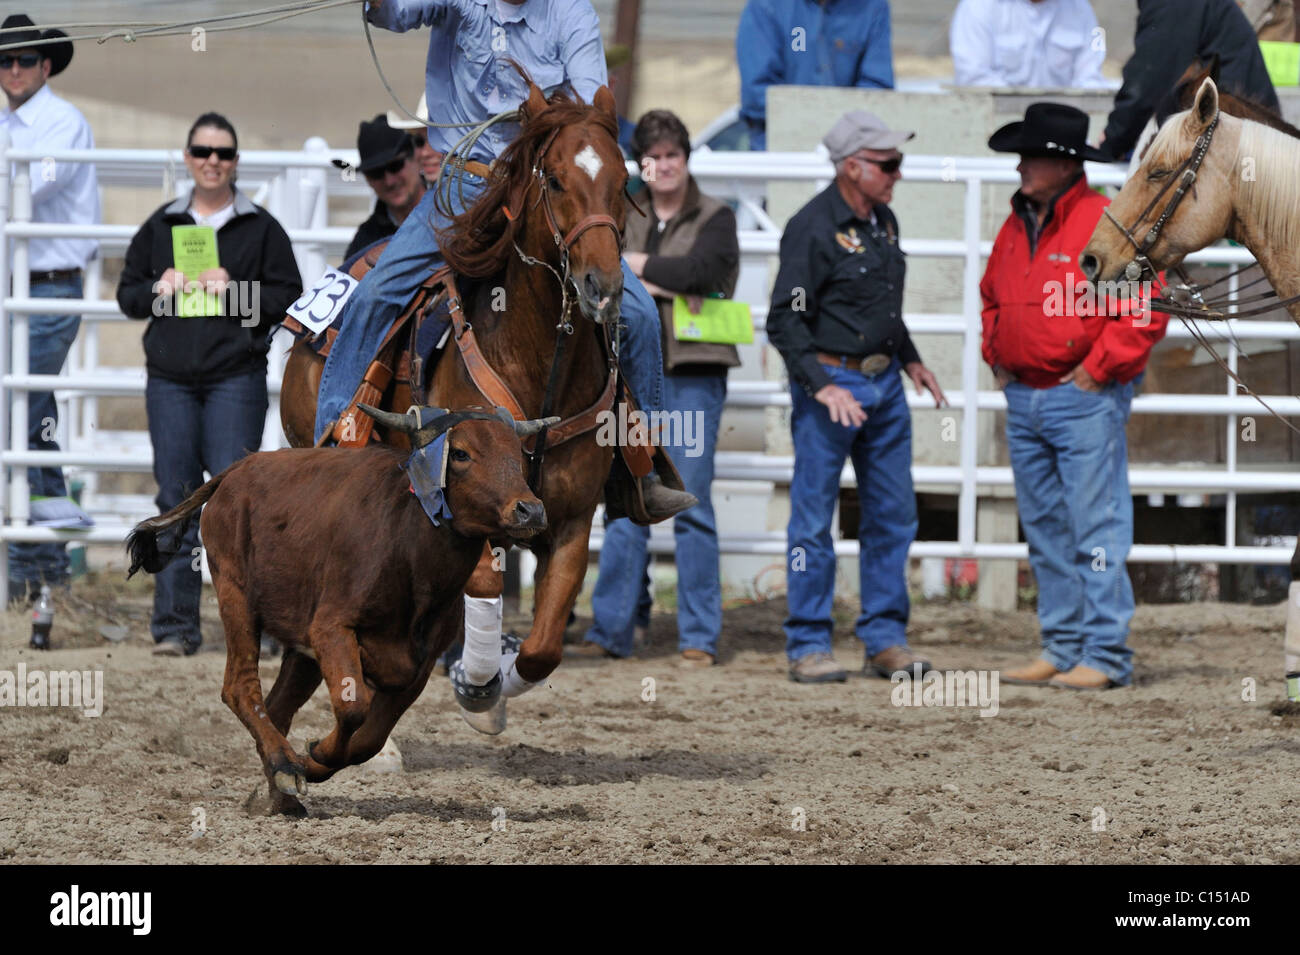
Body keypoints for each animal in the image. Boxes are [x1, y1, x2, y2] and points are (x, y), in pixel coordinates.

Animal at [280, 81, 634, 735]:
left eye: (624, 181)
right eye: (555, 180)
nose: (602, 286)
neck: (535, 359)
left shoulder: (573, 520)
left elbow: (545, 645)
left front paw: (495, 688)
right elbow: (486, 582)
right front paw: (474, 682)